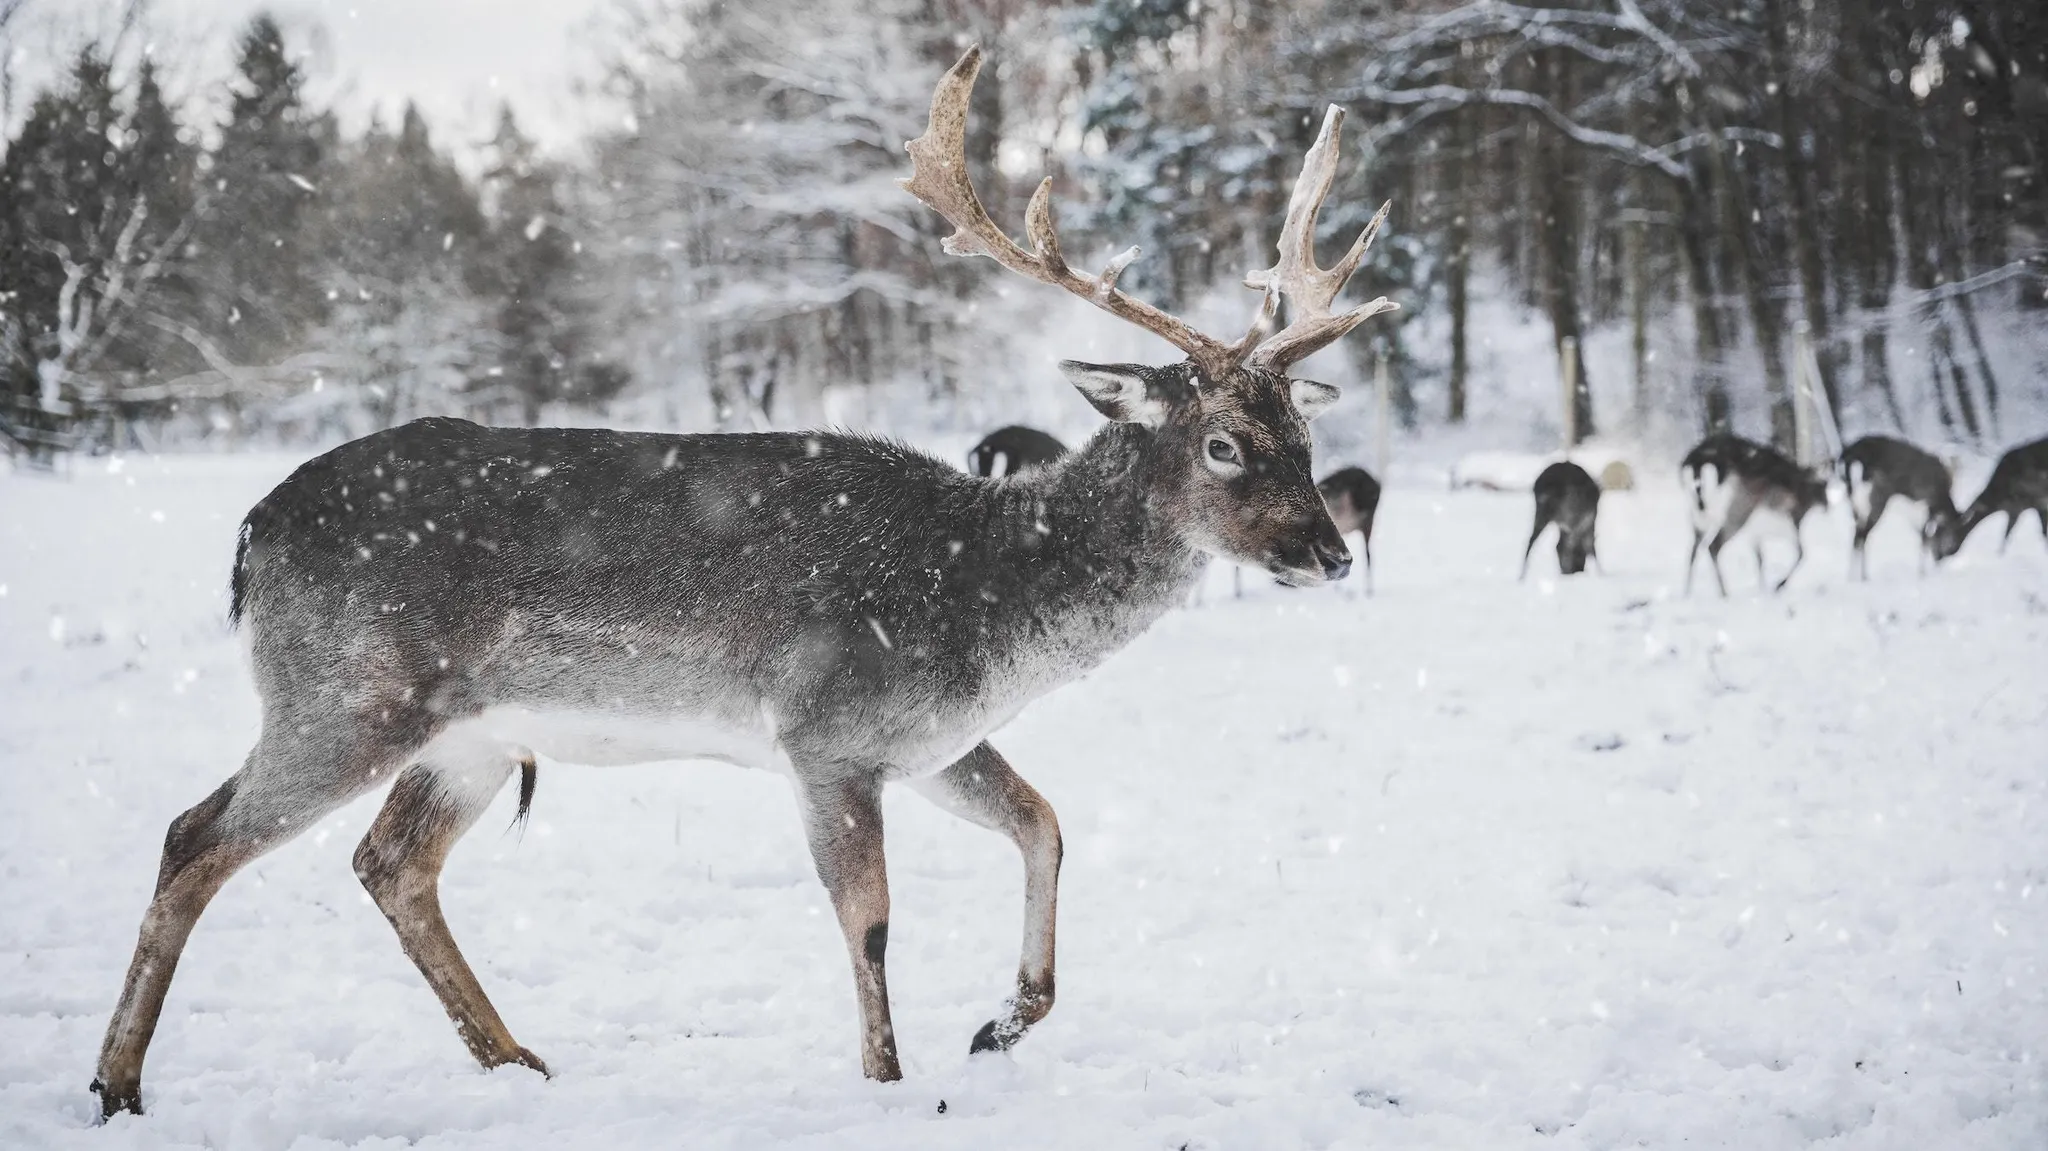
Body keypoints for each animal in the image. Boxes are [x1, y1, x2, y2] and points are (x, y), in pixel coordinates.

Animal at [1681, 433, 1829, 595]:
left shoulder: (1755, 534)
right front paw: (1778, 585)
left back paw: (1686, 592)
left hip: (1697, 517)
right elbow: (1802, 552)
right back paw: (1725, 593)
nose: (1827, 506)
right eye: (1824, 486)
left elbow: (1760, 559)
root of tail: (1698, 465)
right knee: (1713, 547)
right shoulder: (1790, 523)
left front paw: (1762, 589)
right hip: (1736, 514)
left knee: (1693, 549)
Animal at [1839, 435, 1958, 578]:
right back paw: (1863, 577)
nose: (1941, 558)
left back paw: (1853, 577)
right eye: (1951, 537)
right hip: (1876, 500)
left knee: (1856, 537)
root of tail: (1851, 456)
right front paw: (1922, 573)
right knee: (1862, 537)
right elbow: (1924, 539)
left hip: (1854, 503)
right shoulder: (1926, 509)